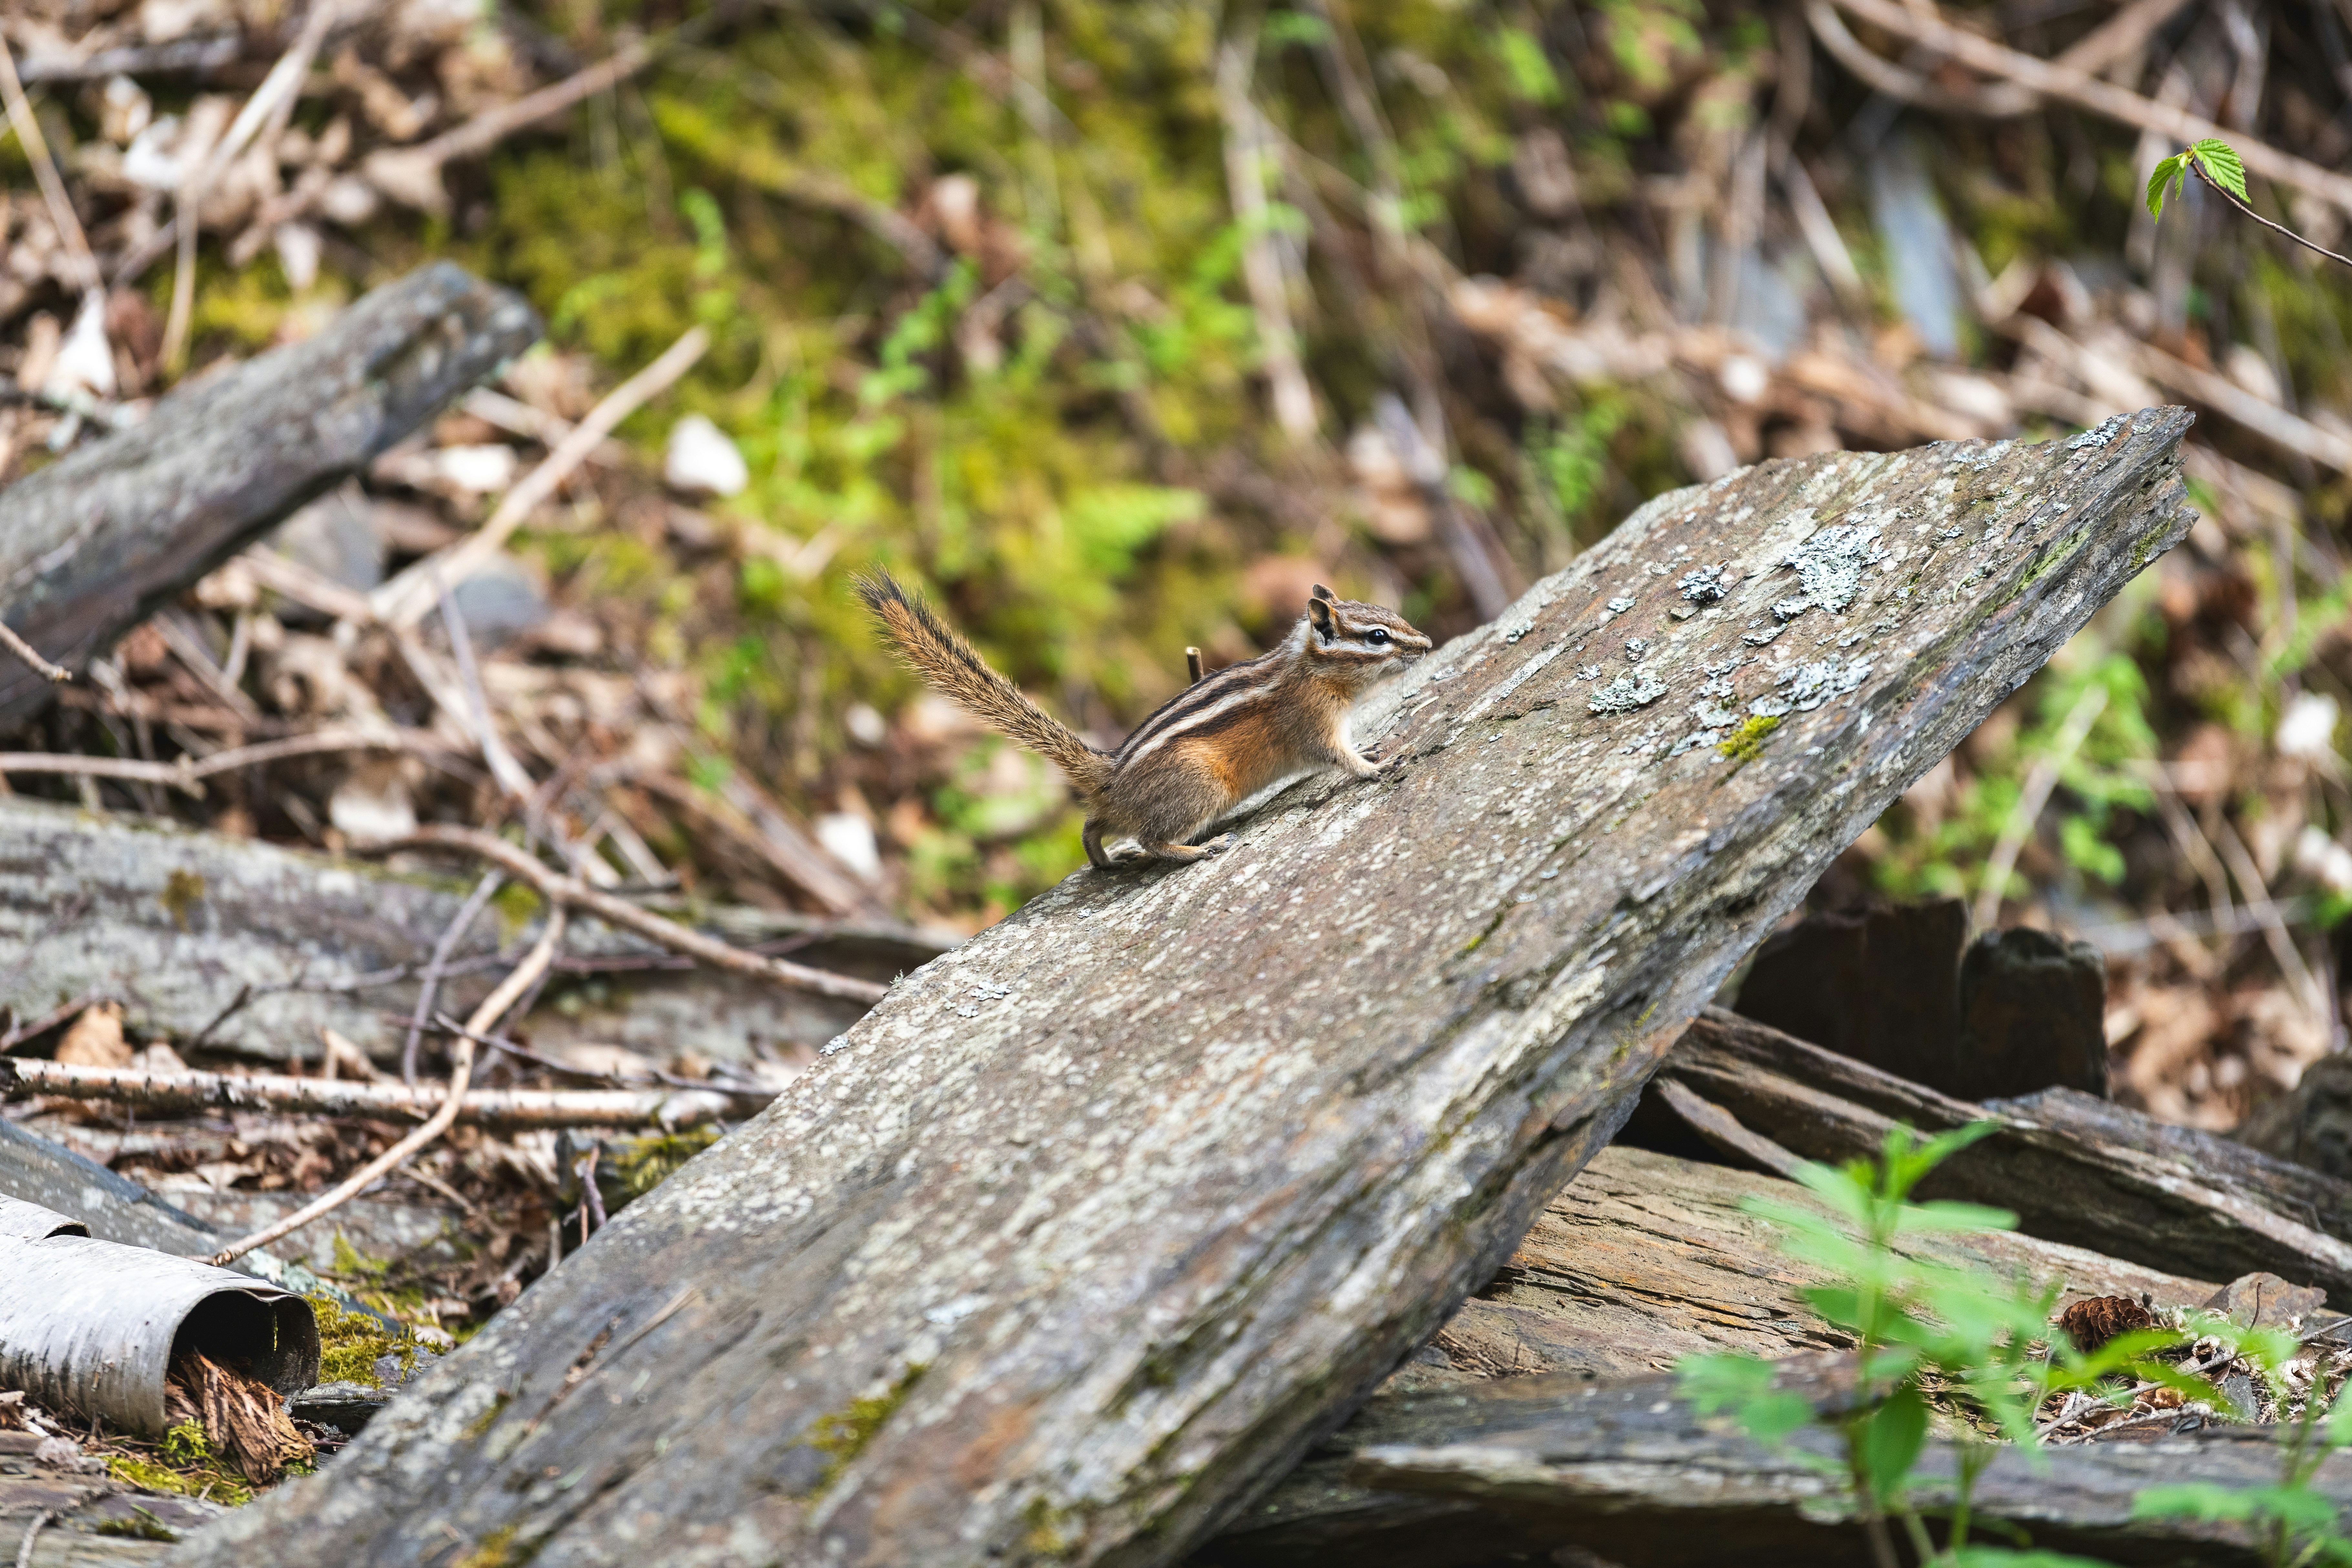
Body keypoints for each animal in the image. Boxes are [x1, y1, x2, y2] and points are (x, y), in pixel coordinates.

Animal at [857, 572, 1433, 867]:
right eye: (1378, 637)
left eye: (1392, 616)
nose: (1427, 644)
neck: (1310, 667)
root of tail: (1108, 771)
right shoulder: (1311, 723)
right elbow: (1337, 758)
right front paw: (1378, 767)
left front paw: (1374, 749)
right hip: (1203, 786)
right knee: (1150, 839)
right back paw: (1198, 849)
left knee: (1094, 825)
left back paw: (1105, 862)